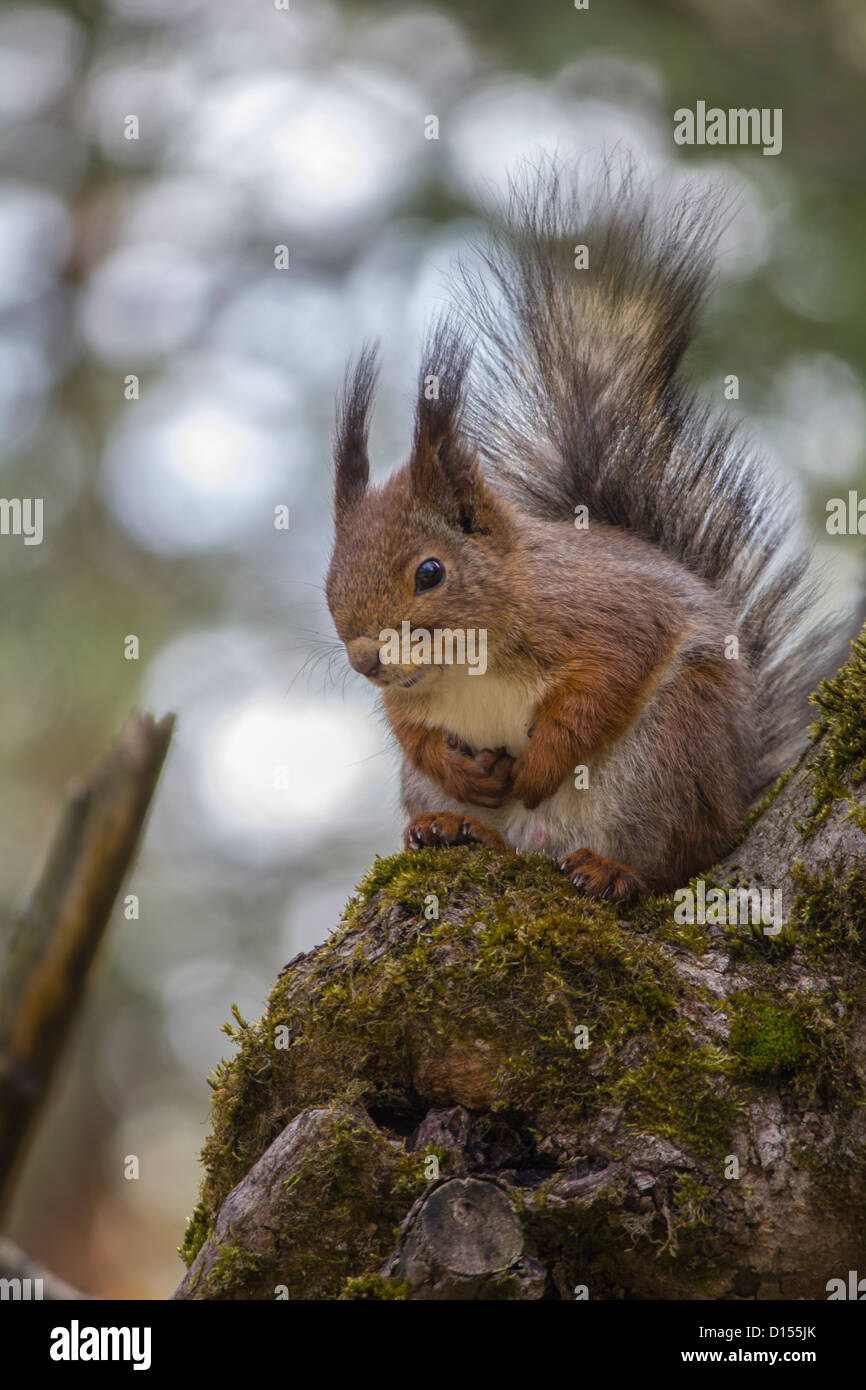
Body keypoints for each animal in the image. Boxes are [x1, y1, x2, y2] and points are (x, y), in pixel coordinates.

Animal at [325, 160, 838, 902]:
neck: (467, 660)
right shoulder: (410, 699)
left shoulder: (604, 615)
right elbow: (409, 728)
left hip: (673, 748)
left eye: (430, 572)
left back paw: (613, 870)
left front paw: (540, 764)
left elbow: (602, 689)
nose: (366, 661)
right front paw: (459, 768)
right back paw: (454, 827)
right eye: (329, 579)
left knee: (671, 857)